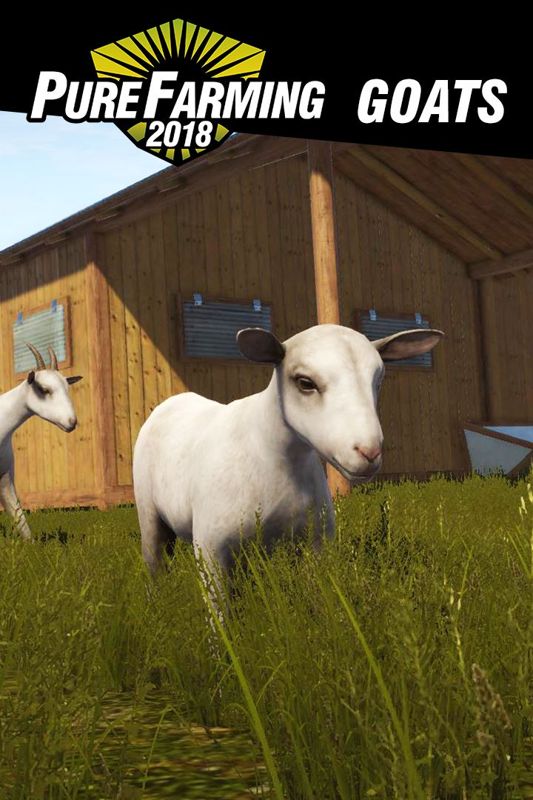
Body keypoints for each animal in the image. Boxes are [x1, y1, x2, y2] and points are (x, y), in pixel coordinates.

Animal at [133, 323, 443, 587]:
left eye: (379, 381)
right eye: (305, 382)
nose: (369, 452)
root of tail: (175, 399)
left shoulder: (317, 543)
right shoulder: (211, 549)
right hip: (149, 515)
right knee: (155, 564)